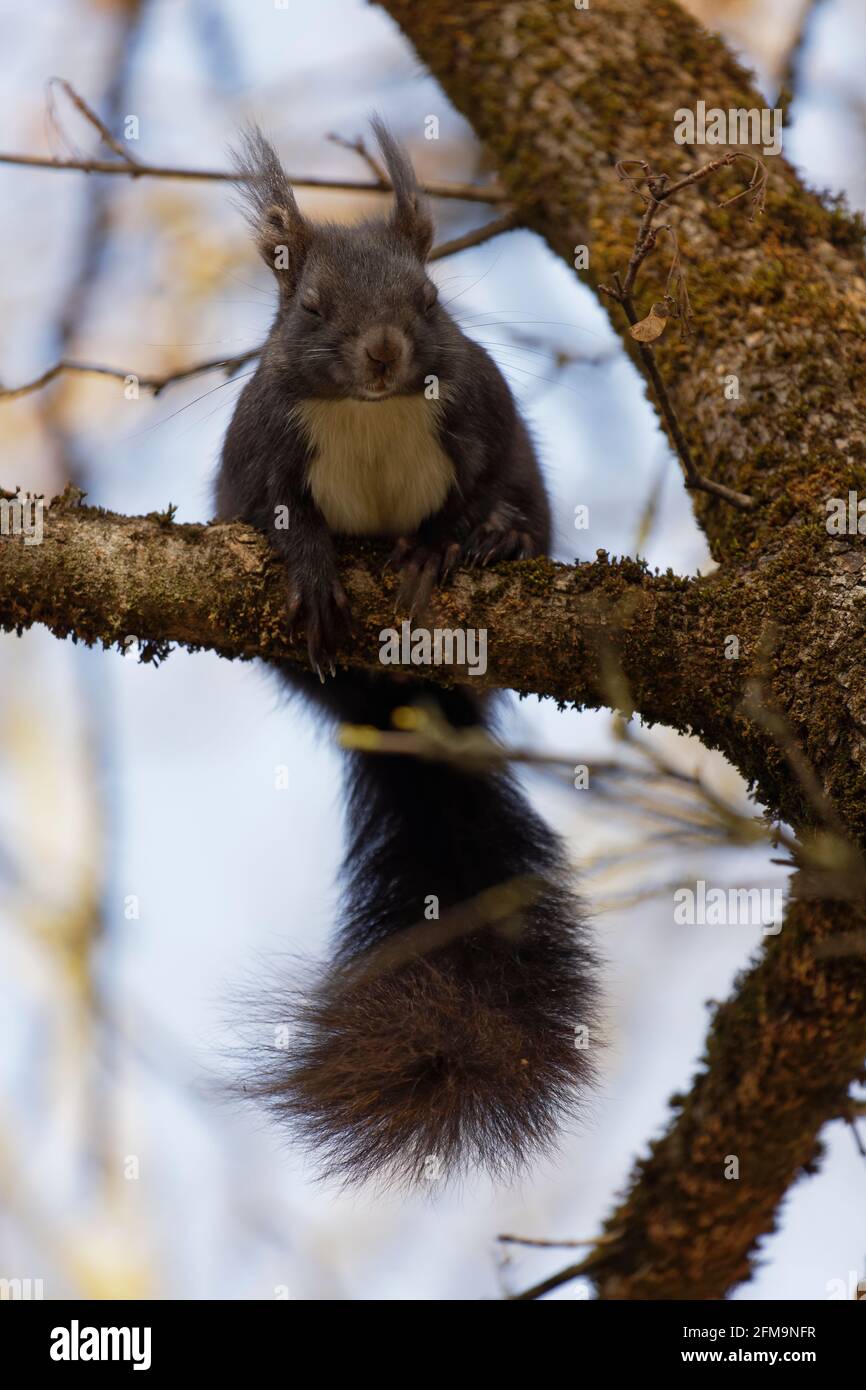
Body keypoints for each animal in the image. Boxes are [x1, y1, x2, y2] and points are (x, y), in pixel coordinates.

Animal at [215, 120, 599, 1188]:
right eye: (311, 305)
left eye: (428, 298)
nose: (385, 351)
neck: (373, 412)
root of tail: (404, 716)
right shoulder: (255, 456)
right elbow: (273, 515)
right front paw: (311, 566)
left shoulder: (482, 416)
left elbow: (480, 492)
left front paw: (447, 544)